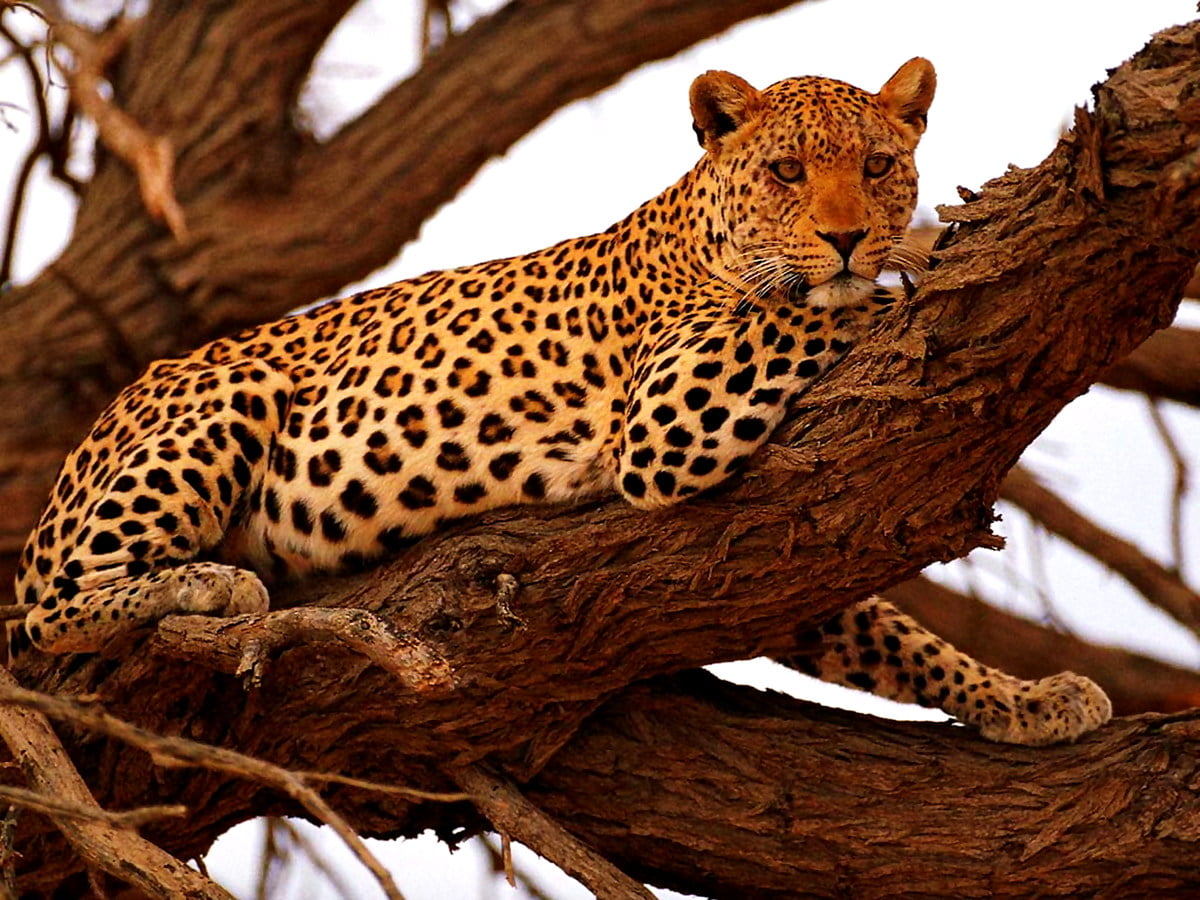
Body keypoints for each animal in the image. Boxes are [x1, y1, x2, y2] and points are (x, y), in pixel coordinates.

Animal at [11, 58, 1111, 746]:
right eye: (787, 171)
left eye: (879, 165)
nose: (846, 237)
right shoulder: (670, 415)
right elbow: (813, 306)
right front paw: (925, 263)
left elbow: (891, 636)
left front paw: (1029, 700)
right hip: (227, 395)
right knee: (56, 610)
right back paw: (209, 586)